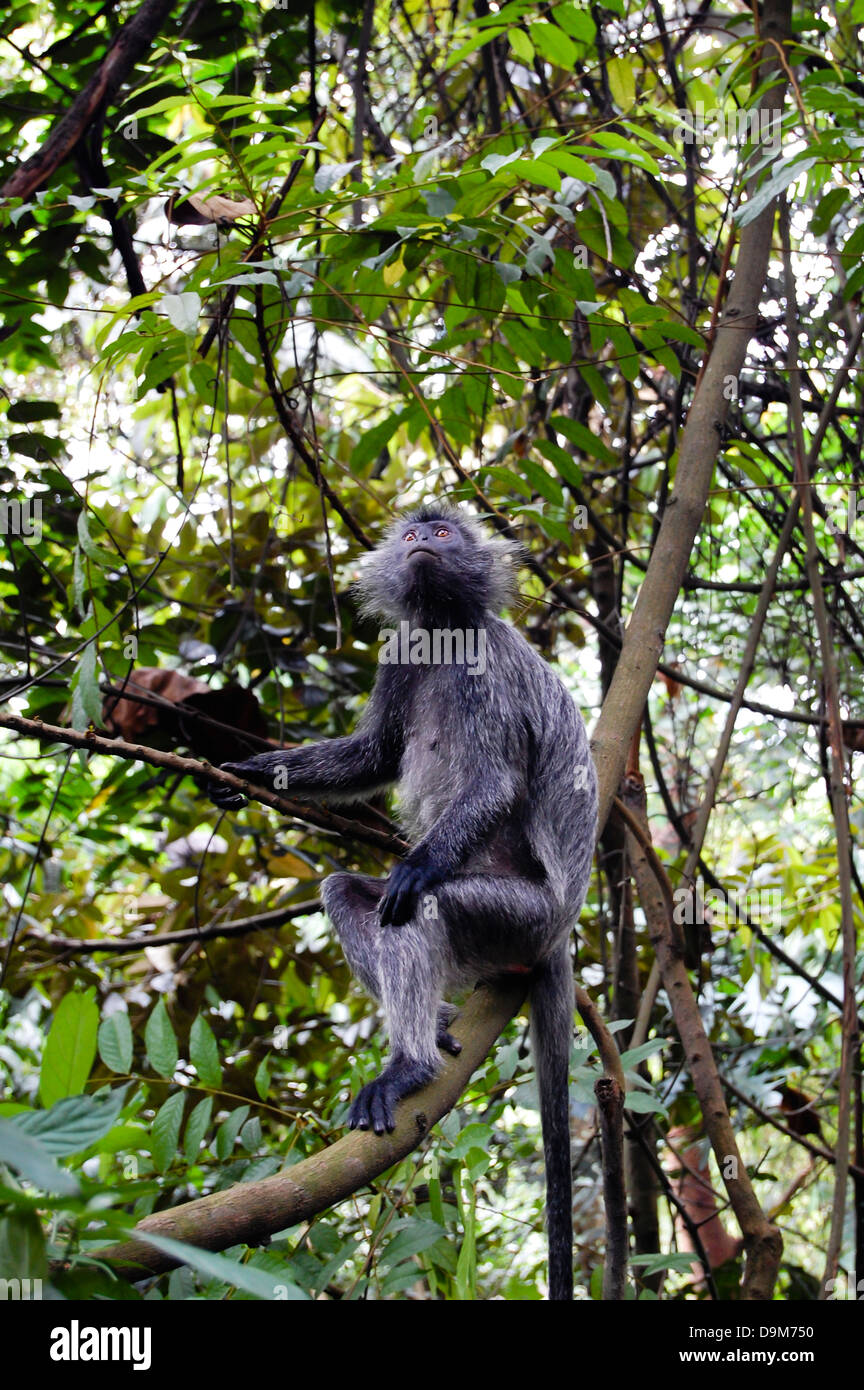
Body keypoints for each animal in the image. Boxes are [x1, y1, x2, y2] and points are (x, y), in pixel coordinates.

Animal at [210, 503, 597, 1301]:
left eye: (443, 534)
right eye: (416, 534)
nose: (421, 543)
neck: (445, 630)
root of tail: (560, 932)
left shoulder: (486, 666)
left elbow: (494, 782)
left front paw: (415, 865)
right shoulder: (401, 654)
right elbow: (375, 756)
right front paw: (253, 770)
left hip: (519, 919)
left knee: (420, 906)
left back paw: (410, 1062)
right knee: (349, 893)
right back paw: (440, 1026)